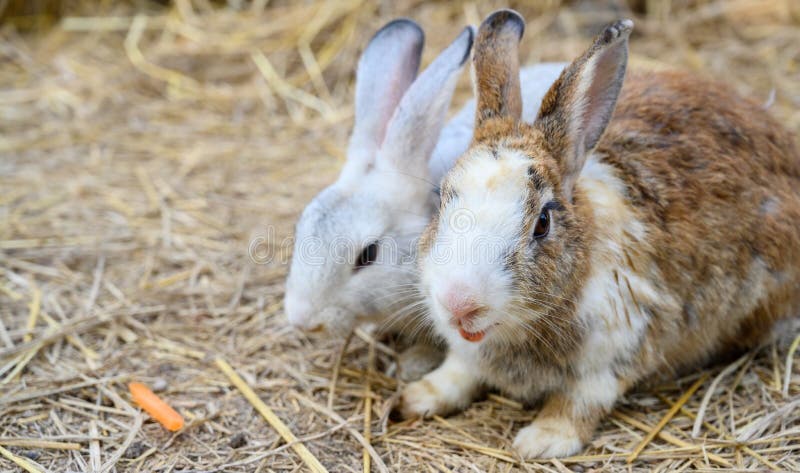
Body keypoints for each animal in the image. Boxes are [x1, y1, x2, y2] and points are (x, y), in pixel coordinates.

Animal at [400, 9, 800, 458]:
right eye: (440, 200)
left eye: (543, 223)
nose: (459, 303)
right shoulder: (466, 355)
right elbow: (457, 372)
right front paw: (418, 397)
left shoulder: (612, 357)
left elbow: (578, 404)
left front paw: (540, 441)